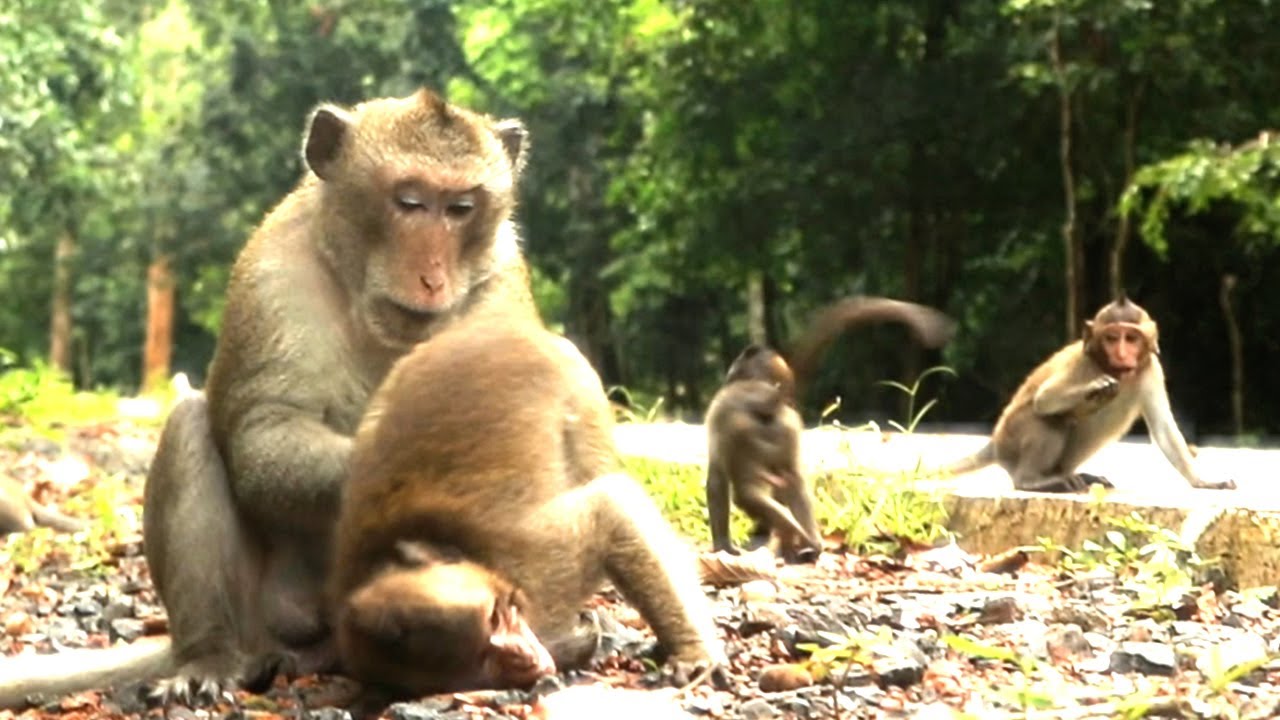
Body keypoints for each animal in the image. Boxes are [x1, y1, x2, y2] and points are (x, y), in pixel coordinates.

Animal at [0, 88, 537, 709]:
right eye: (408, 201)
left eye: (460, 208)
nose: (432, 278)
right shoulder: (274, 272)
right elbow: (265, 432)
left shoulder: (500, 283)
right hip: (260, 614)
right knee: (189, 424)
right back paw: (207, 658)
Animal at [328, 309, 723, 698]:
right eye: (487, 659)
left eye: (496, 618)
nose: (527, 656)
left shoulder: (542, 569)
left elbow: (611, 511)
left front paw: (691, 650)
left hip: (579, 390)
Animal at [705, 297, 957, 562]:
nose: (729, 375)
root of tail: (767, 400)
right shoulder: (790, 426)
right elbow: (793, 480)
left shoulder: (721, 414)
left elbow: (717, 480)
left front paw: (723, 545)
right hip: (781, 429)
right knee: (791, 481)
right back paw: (808, 541)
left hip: (742, 432)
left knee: (747, 492)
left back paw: (790, 532)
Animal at [937, 295, 1237, 493]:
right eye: (1112, 338)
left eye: (1131, 338)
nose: (1122, 353)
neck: (1114, 369)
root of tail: (995, 443)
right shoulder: (1082, 363)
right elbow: (1044, 399)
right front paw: (1095, 389)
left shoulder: (1151, 368)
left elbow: (1164, 428)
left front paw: (1203, 480)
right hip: (1012, 441)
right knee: (1051, 420)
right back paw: (1033, 480)